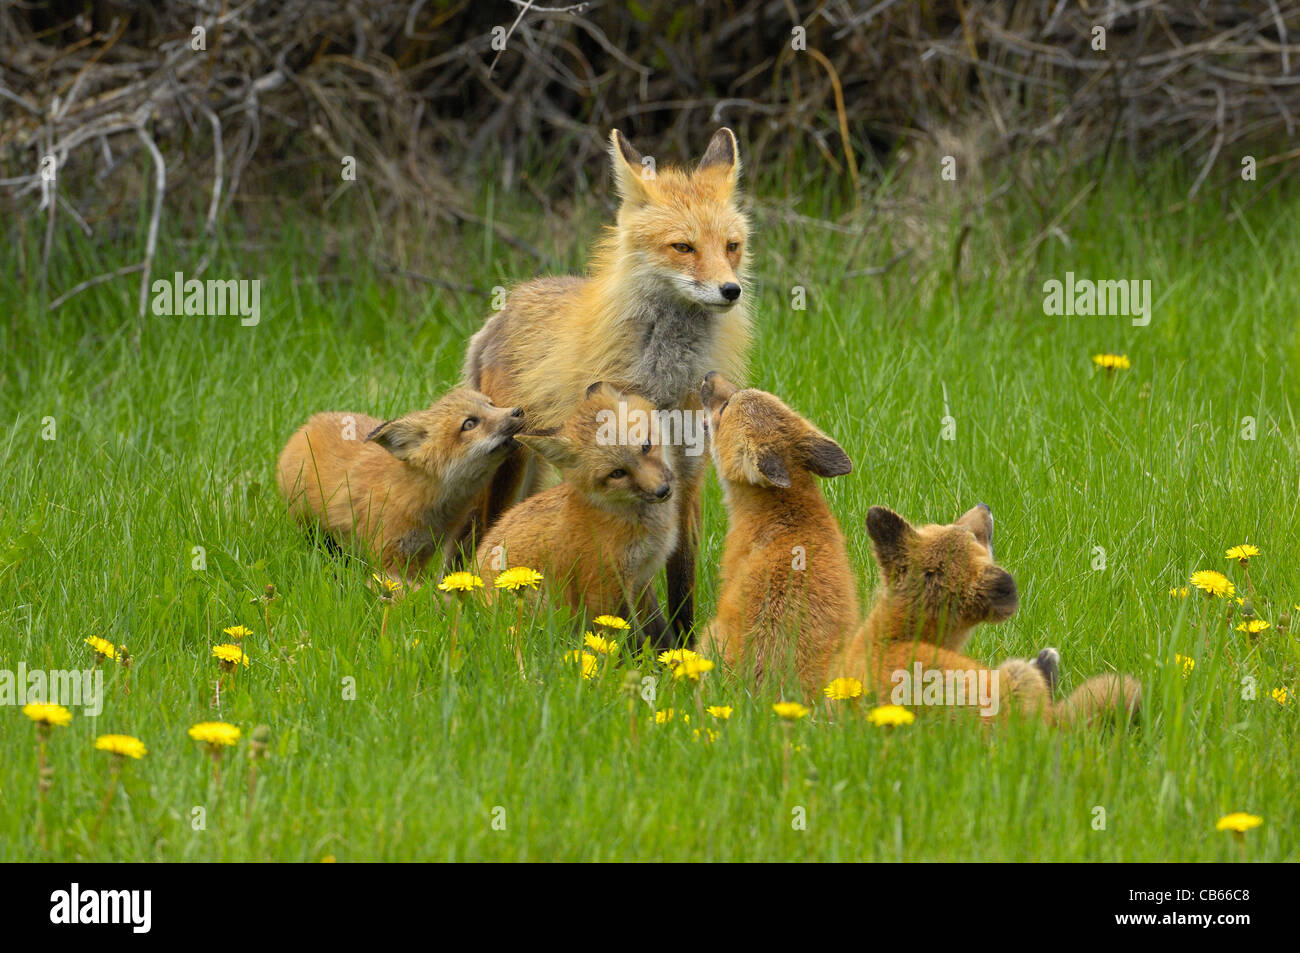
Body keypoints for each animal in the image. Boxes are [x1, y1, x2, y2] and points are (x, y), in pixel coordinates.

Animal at [277, 388, 525, 581]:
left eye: (491, 404)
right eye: (470, 423)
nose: (518, 411)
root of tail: (310, 422)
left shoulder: (428, 551)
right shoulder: (391, 557)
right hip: (311, 528)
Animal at [474, 382, 678, 646]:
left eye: (646, 446)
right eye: (617, 473)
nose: (662, 491)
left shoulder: (642, 579)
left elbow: (660, 632)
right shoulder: (604, 588)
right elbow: (625, 641)